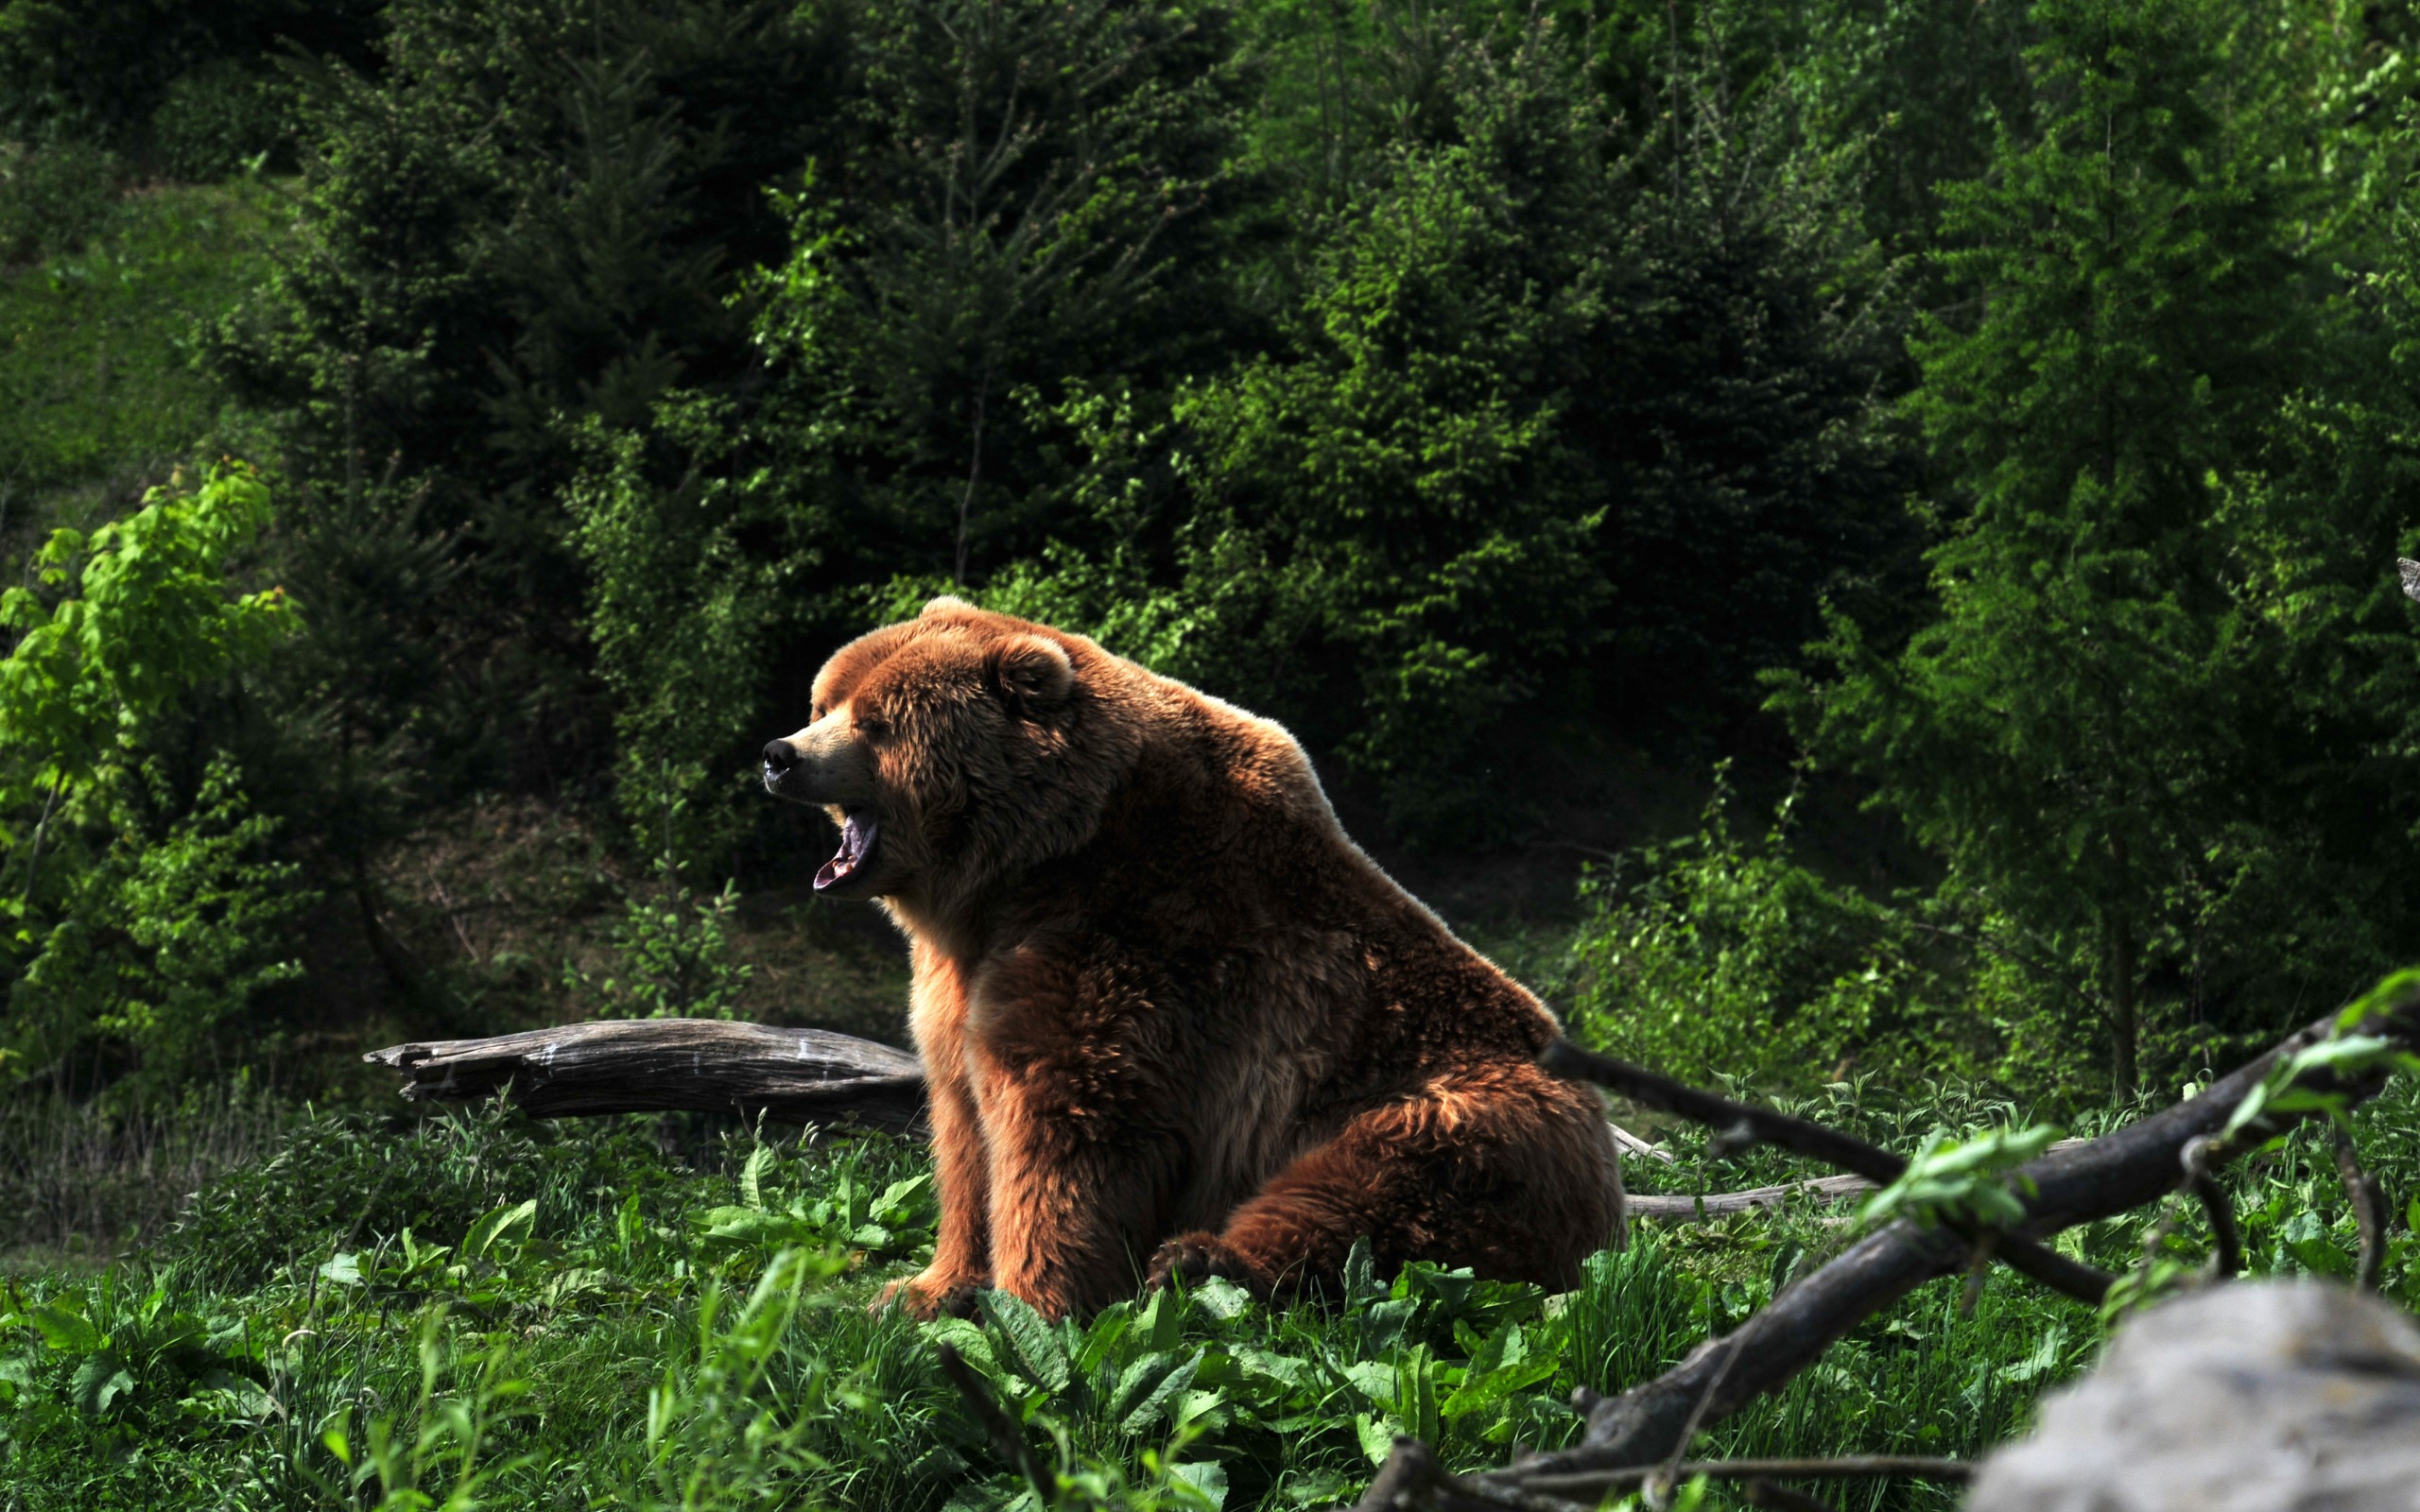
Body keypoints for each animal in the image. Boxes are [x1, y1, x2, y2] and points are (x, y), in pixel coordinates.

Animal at [760, 598, 1622, 1319]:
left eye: (876, 721)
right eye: (826, 702)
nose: (779, 753)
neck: (1029, 866)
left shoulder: (1134, 938)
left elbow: (1066, 1129)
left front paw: (1034, 1305)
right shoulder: (963, 977)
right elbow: (965, 1128)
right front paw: (924, 1288)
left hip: (1459, 1112)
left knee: (1363, 1190)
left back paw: (1201, 1262)